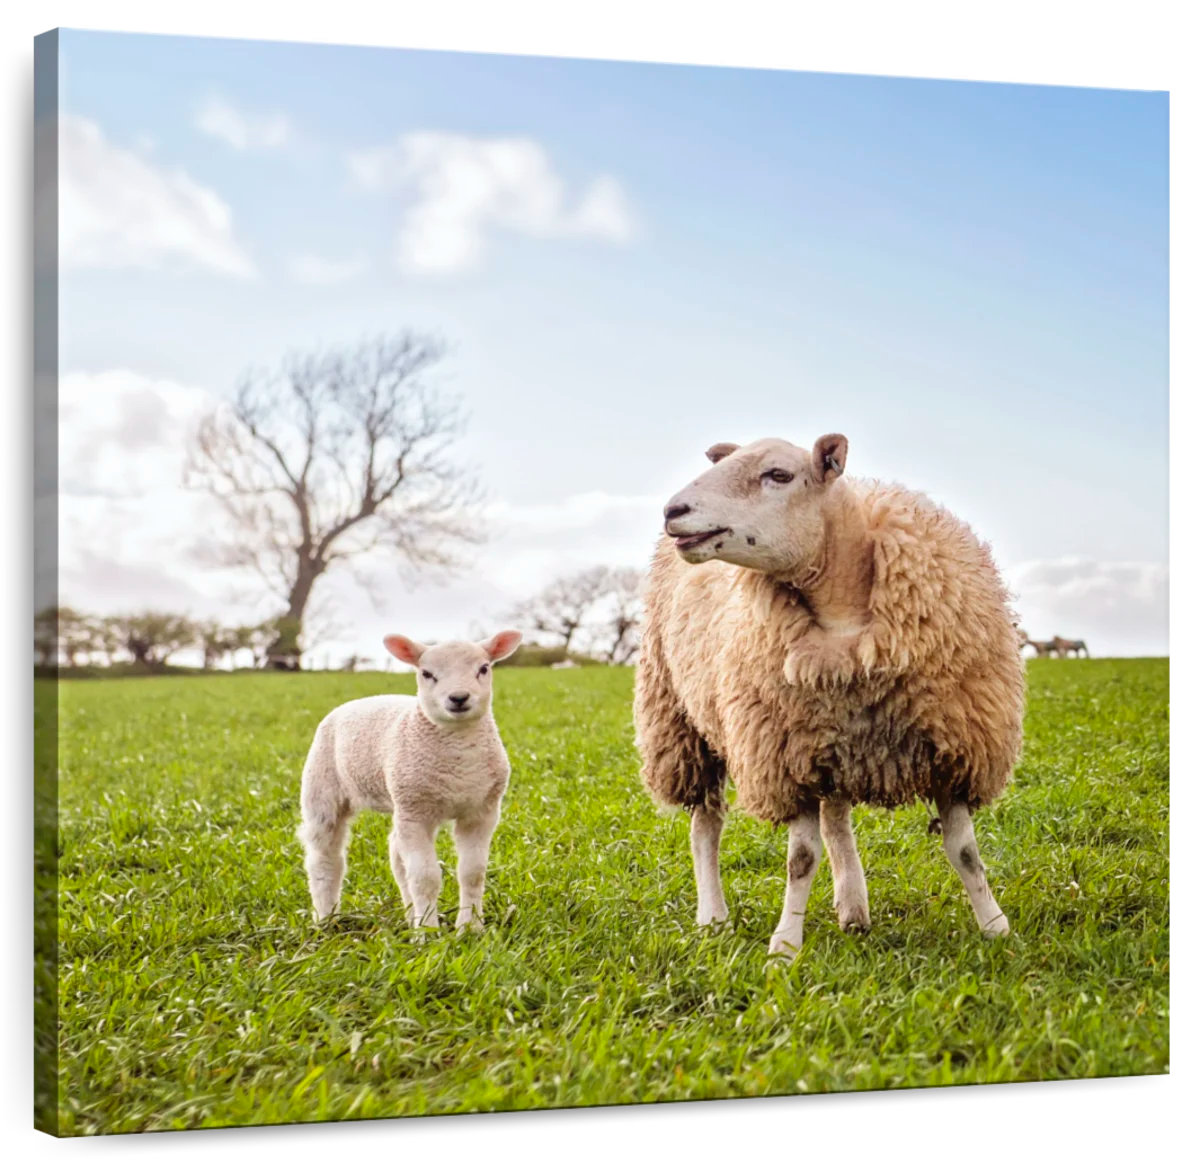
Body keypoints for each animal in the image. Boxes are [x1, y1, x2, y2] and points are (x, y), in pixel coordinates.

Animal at [298, 629, 522, 932]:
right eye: (426, 673)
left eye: (484, 668)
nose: (458, 697)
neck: (459, 759)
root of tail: (362, 700)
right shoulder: (416, 814)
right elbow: (426, 877)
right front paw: (428, 932)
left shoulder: (482, 812)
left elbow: (472, 873)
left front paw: (470, 928)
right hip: (323, 788)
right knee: (325, 858)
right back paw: (325, 919)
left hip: (402, 801)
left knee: (396, 855)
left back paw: (409, 915)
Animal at [635, 435, 1024, 959]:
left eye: (778, 475)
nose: (673, 511)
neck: (844, 617)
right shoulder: (785, 757)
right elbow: (800, 859)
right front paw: (784, 946)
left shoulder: (955, 748)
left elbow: (964, 852)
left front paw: (996, 928)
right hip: (683, 726)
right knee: (706, 826)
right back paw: (713, 917)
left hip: (834, 742)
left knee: (836, 821)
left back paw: (853, 910)